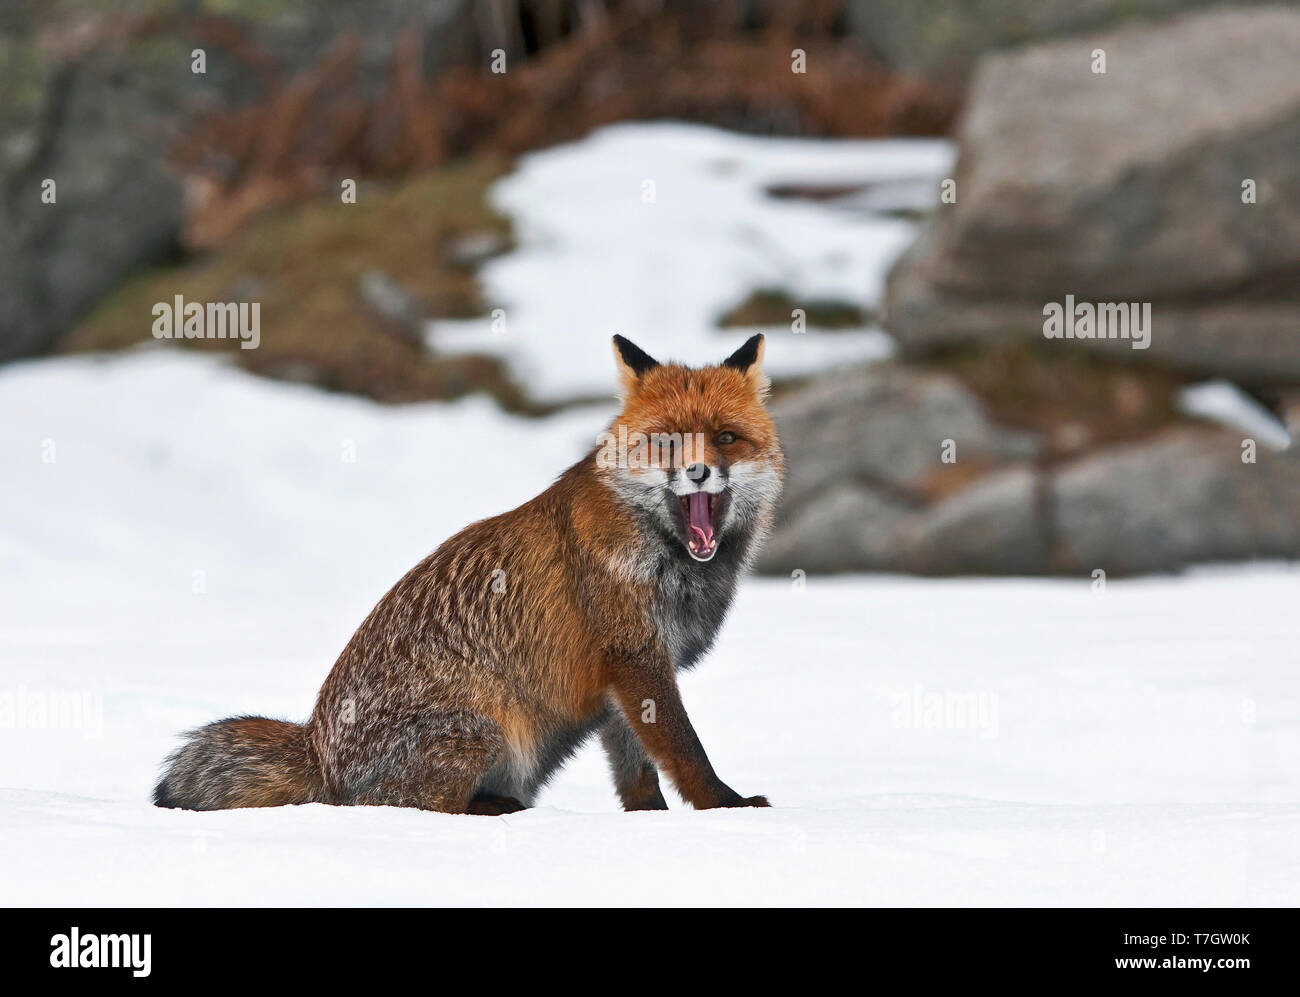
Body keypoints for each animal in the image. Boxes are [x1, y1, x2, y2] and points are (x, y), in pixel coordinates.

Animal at [154, 334, 783, 815]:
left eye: (725, 437)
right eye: (666, 442)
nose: (698, 472)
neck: (663, 553)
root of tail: (317, 749)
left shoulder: (624, 678)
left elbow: (638, 772)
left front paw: (651, 821)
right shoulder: (635, 657)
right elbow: (685, 751)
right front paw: (725, 808)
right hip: (484, 732)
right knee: (395, 806)